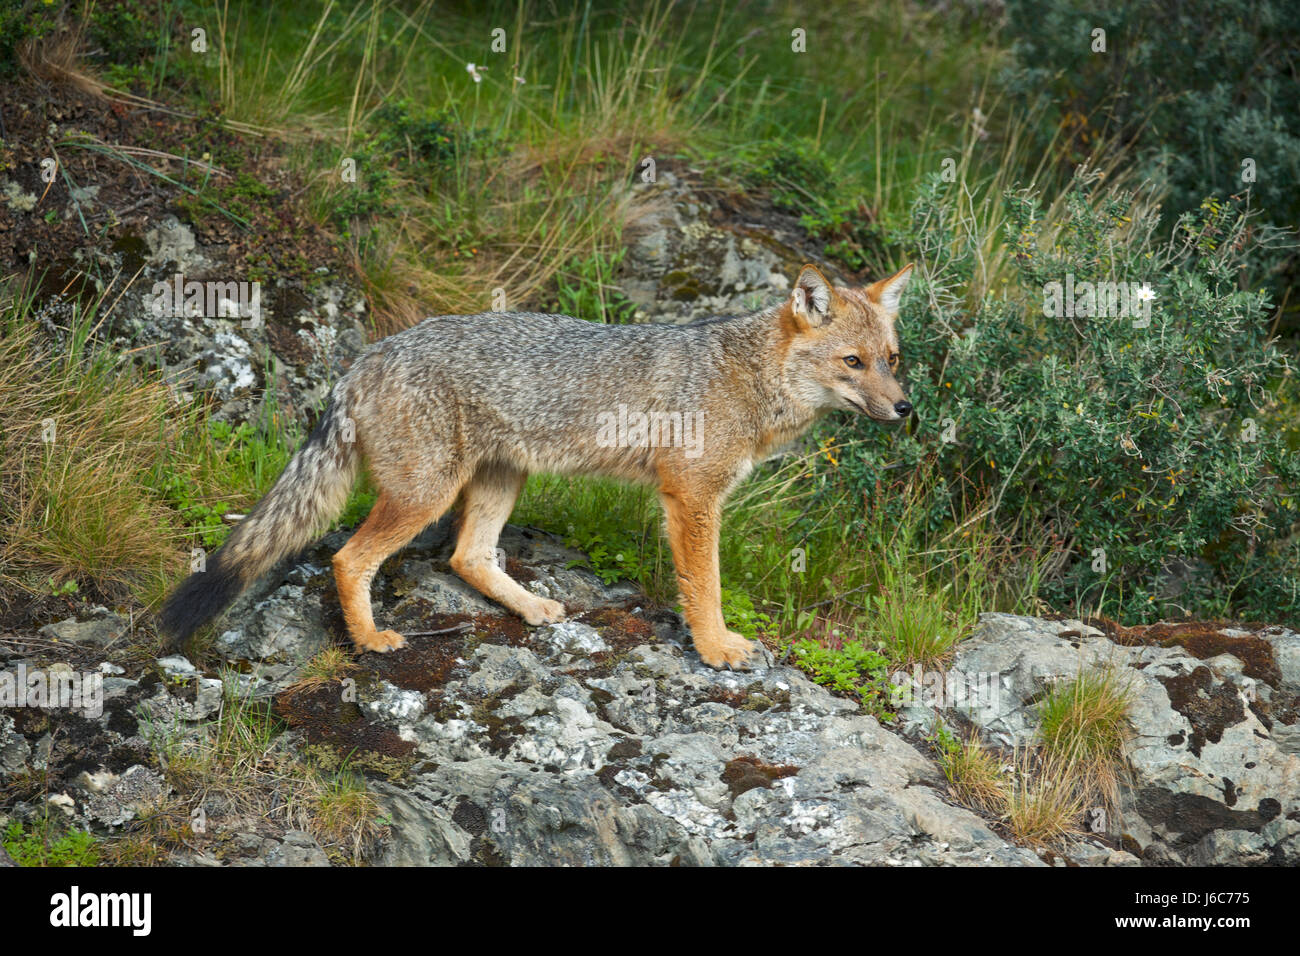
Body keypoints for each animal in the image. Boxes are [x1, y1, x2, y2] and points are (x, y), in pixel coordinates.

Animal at [159, 262, 914, 670]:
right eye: (853, 362)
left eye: (893, 359)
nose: (906, 408)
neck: (747, 377)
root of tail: (366, 356)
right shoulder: (693, 499)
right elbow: (706, 587)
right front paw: (715, 648)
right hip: (425, 497)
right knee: (350, 559)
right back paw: (371, 639)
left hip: (500, 480)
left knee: (466, 557)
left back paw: (531, 607)